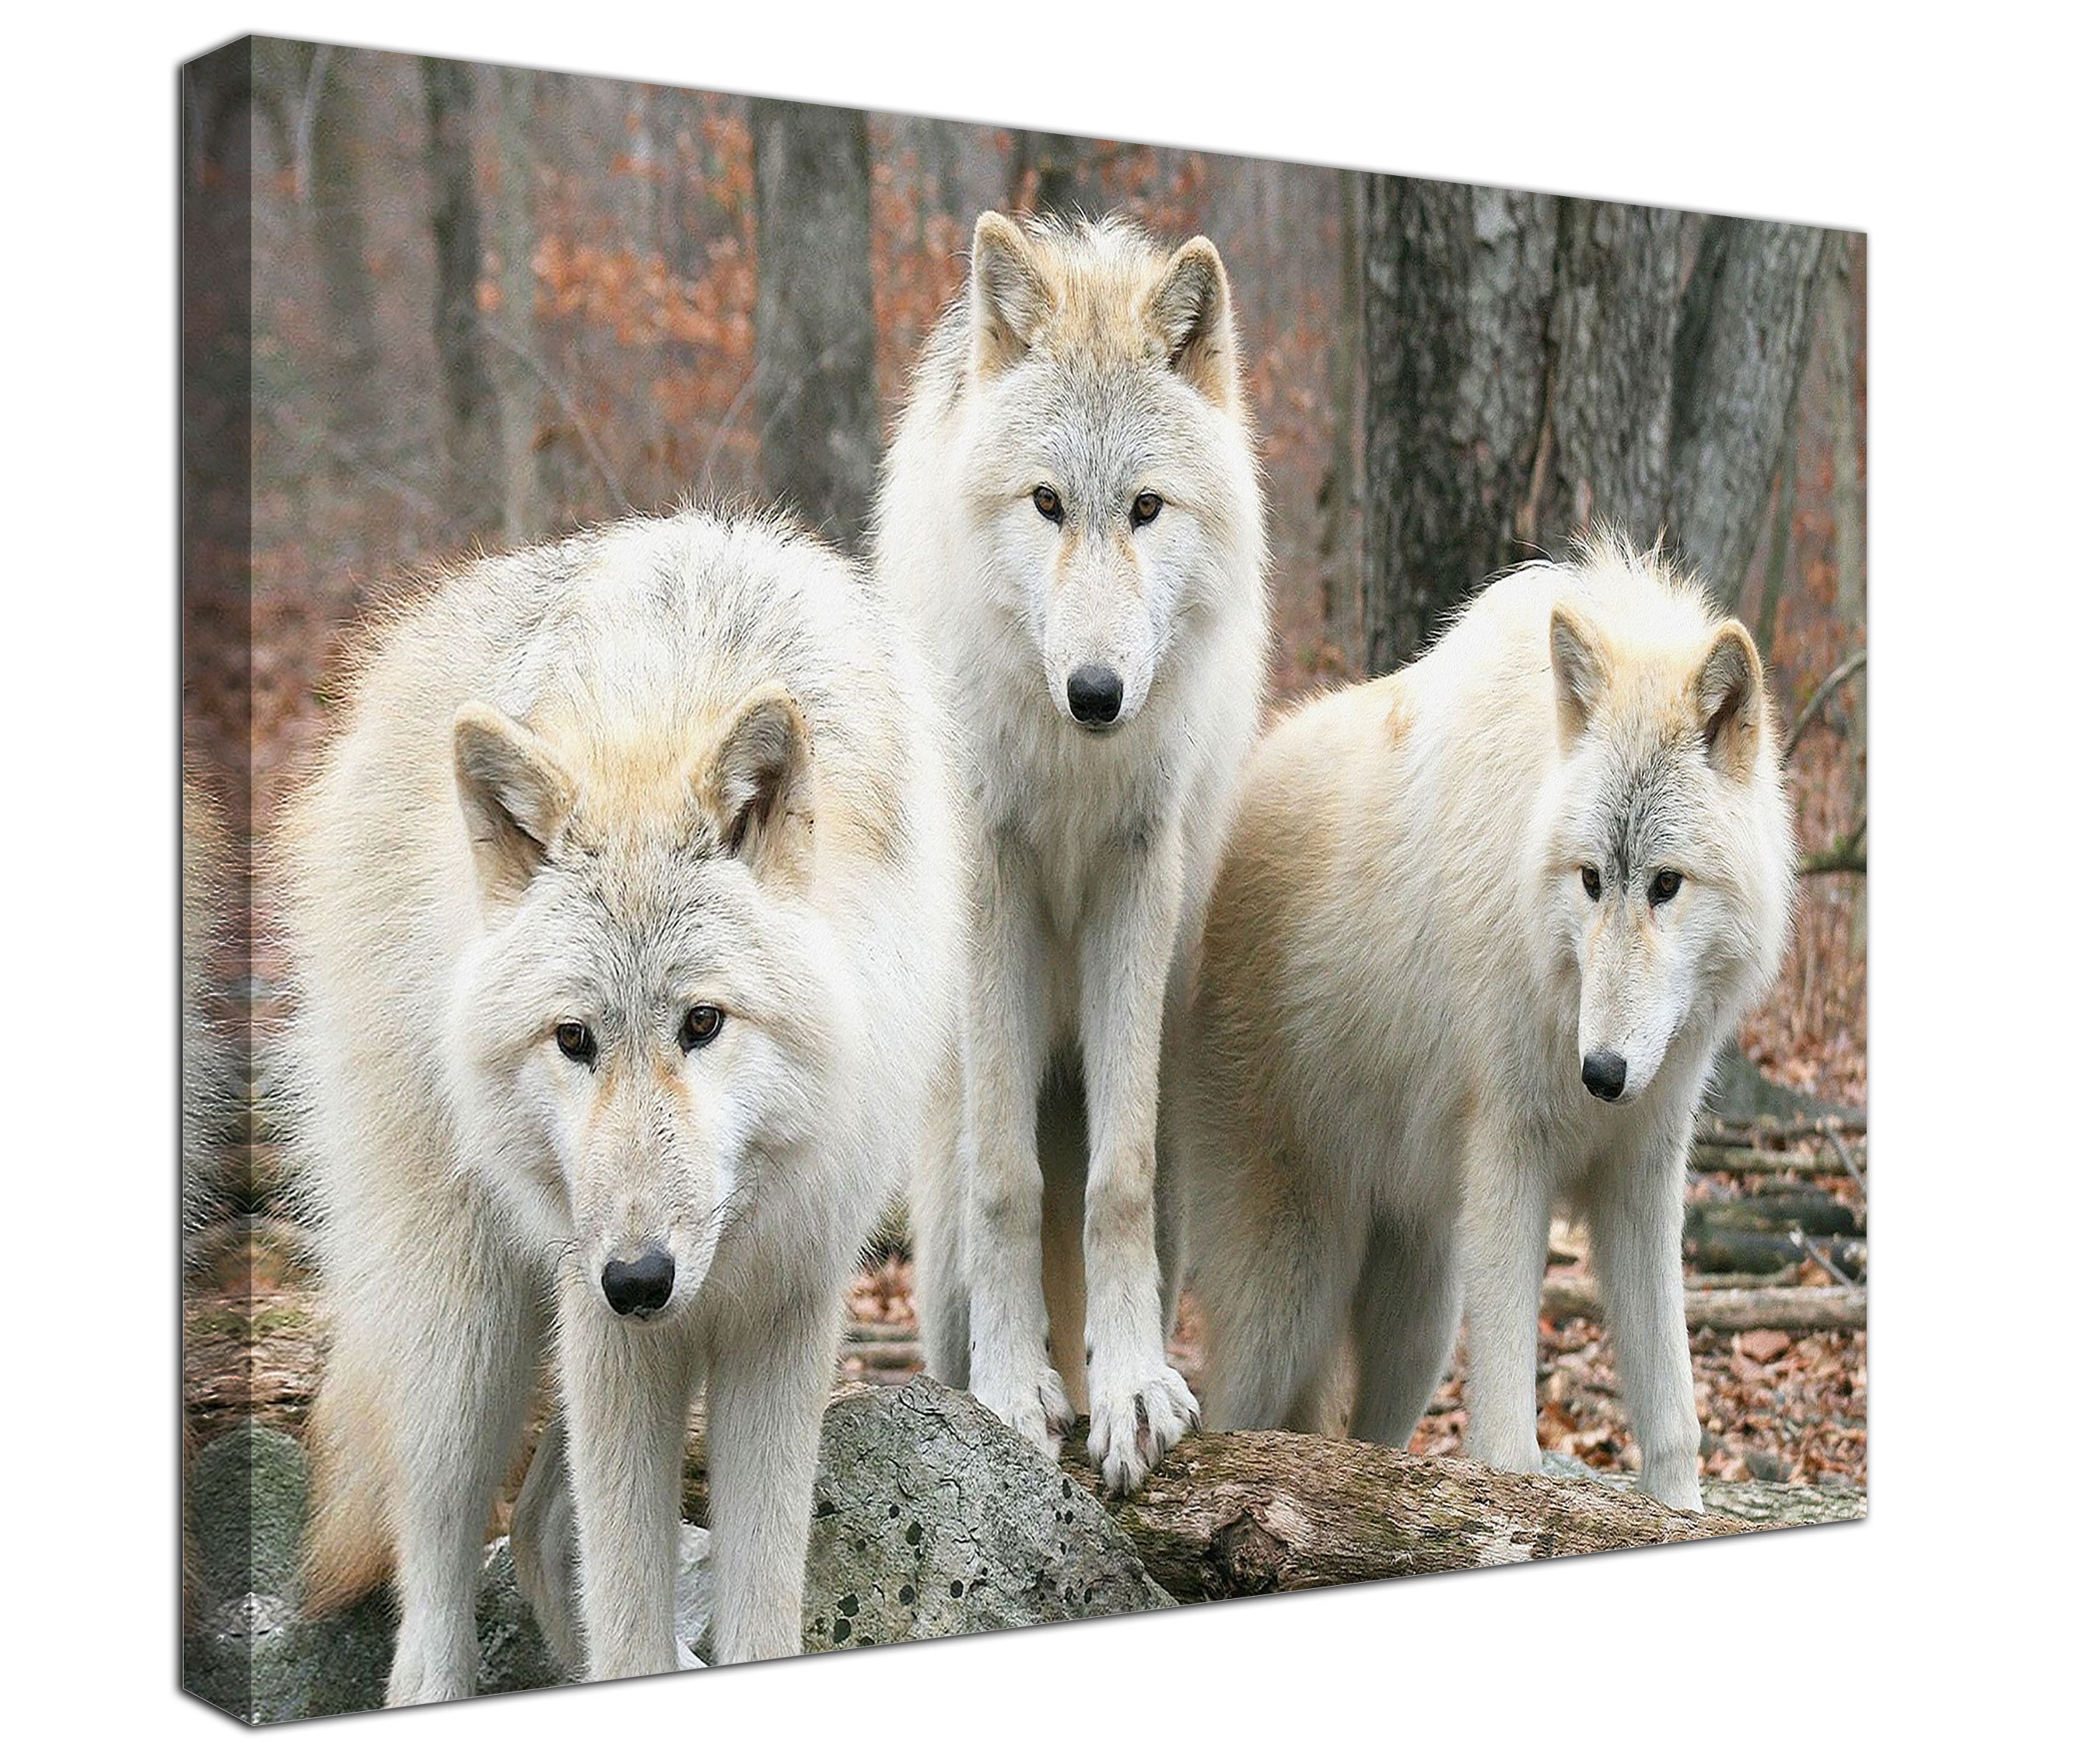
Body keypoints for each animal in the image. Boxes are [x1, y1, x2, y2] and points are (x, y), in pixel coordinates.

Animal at [277, 510, 961, 1702]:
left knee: (542, 1529)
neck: (663, 705)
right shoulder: (608, 1327)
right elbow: (630, 1614)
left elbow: (757, 1611)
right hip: (472, 1336)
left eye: (703, 1023)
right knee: (438, 1585)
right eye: (575, 1039)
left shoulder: (786, 1312)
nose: (640, 1278)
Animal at [877, 213, 1269, 1492]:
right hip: (938, 1195)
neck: (1070, 762)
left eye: (1145, 509)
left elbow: (1113, 1184)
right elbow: (1013, 1180)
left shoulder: (1140, 878)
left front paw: (1134, 1391)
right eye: (1047, 502)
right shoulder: (992, 874)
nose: (1097, 692)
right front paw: (1011, 1393)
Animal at [1171, 533, 1794, 1511]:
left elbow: (1675, 1417)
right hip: (1292, 1293)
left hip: (1422, 1318)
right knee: (1231, 1419)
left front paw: (1681, 1514)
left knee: (1365, 1439)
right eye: (1591, 880)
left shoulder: (1643, 1173)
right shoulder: (1512, 1154)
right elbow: (1505, 1443)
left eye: (1665, 885)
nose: (1602, 1074)